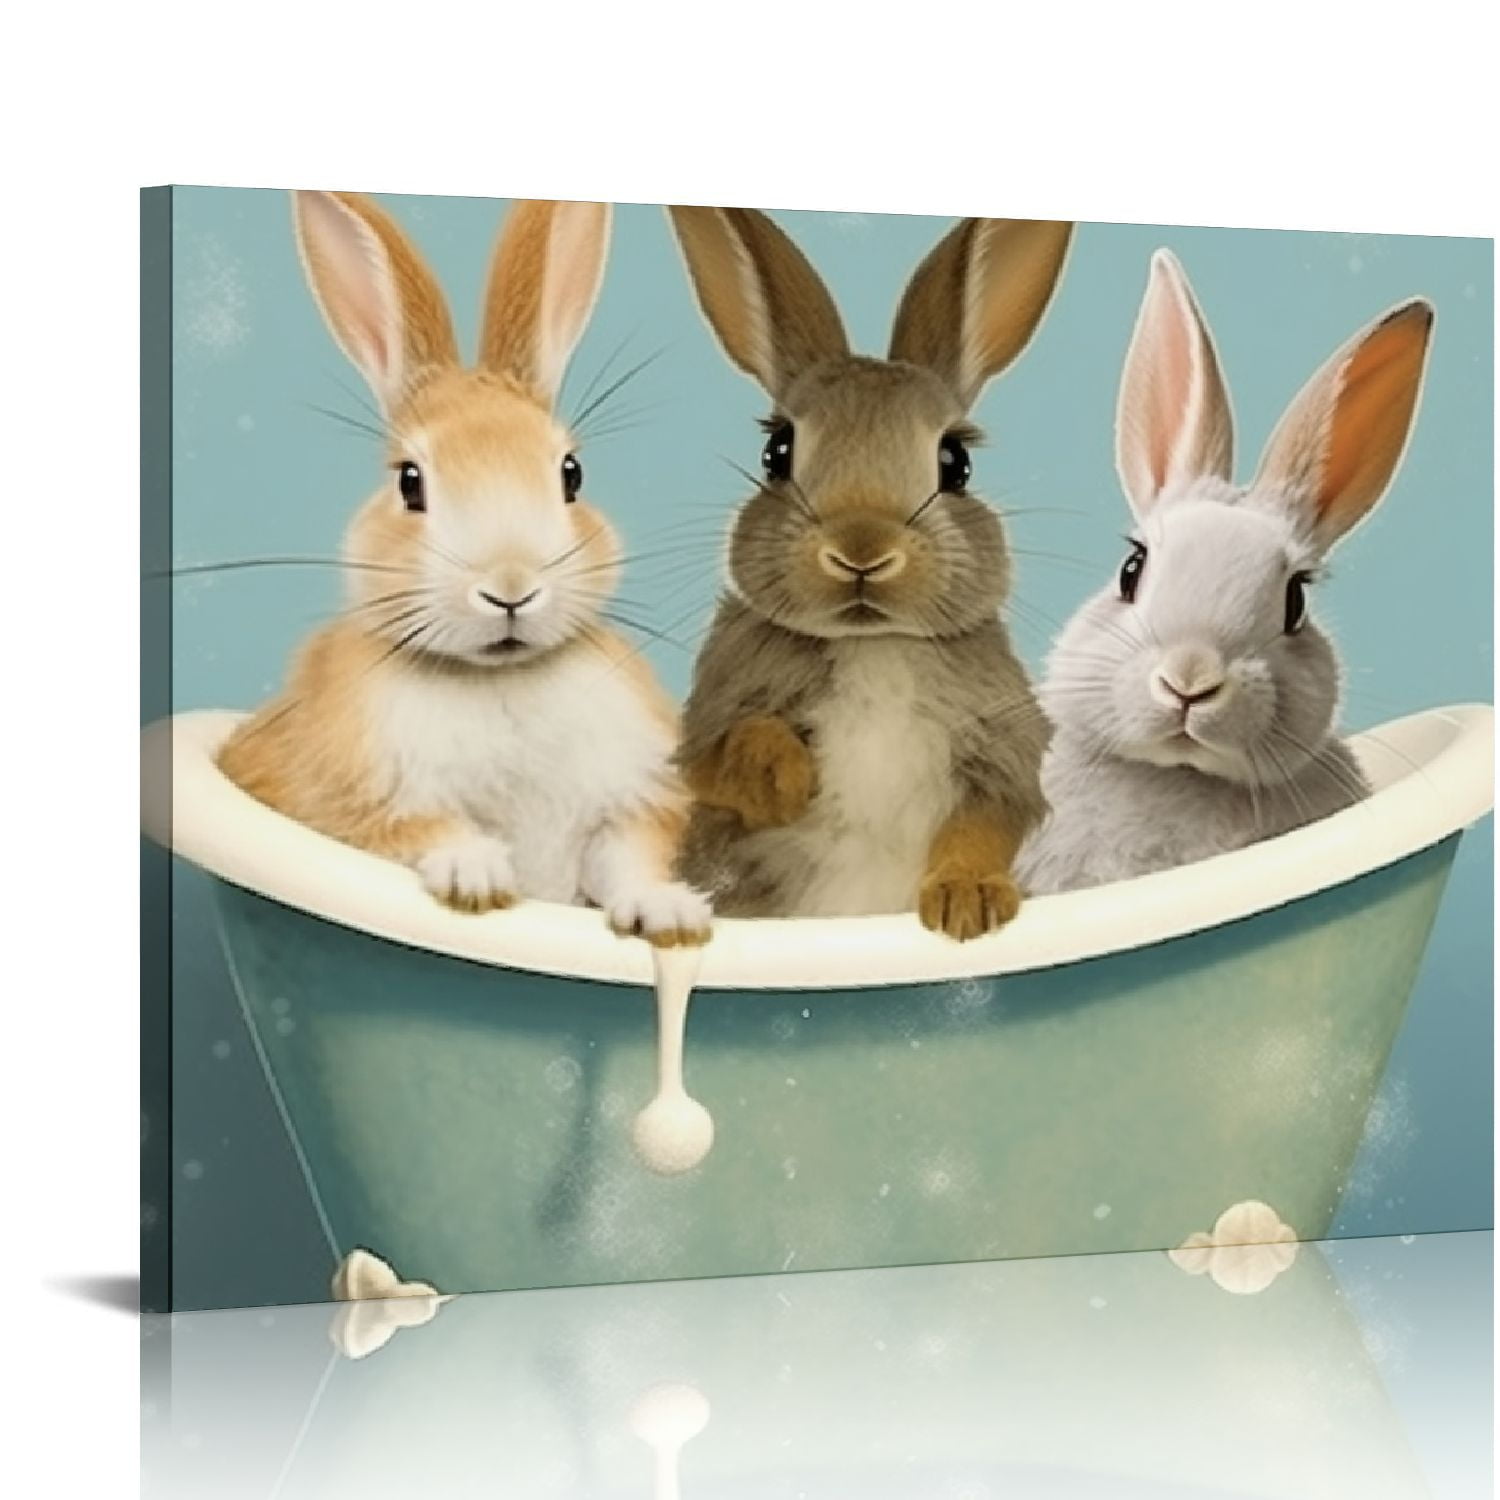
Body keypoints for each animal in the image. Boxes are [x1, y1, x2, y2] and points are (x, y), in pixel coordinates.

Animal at [217, 192, 710, 946]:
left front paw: (669, 915)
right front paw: (475, 876)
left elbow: (629, 862)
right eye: (410, 482)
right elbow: (422, 828)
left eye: (571, 474)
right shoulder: (350, 799)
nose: (510, 588)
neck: (498, 679)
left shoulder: (627, 807)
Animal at [665, 207, 1074, 939]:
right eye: (776, 452)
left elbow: (984, 822)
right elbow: (722, 752)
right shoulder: (711, 715)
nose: (861, 549)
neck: (873, 645)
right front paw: (777, 778)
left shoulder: (999, 749)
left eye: (955, 463)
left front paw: (966, 902)